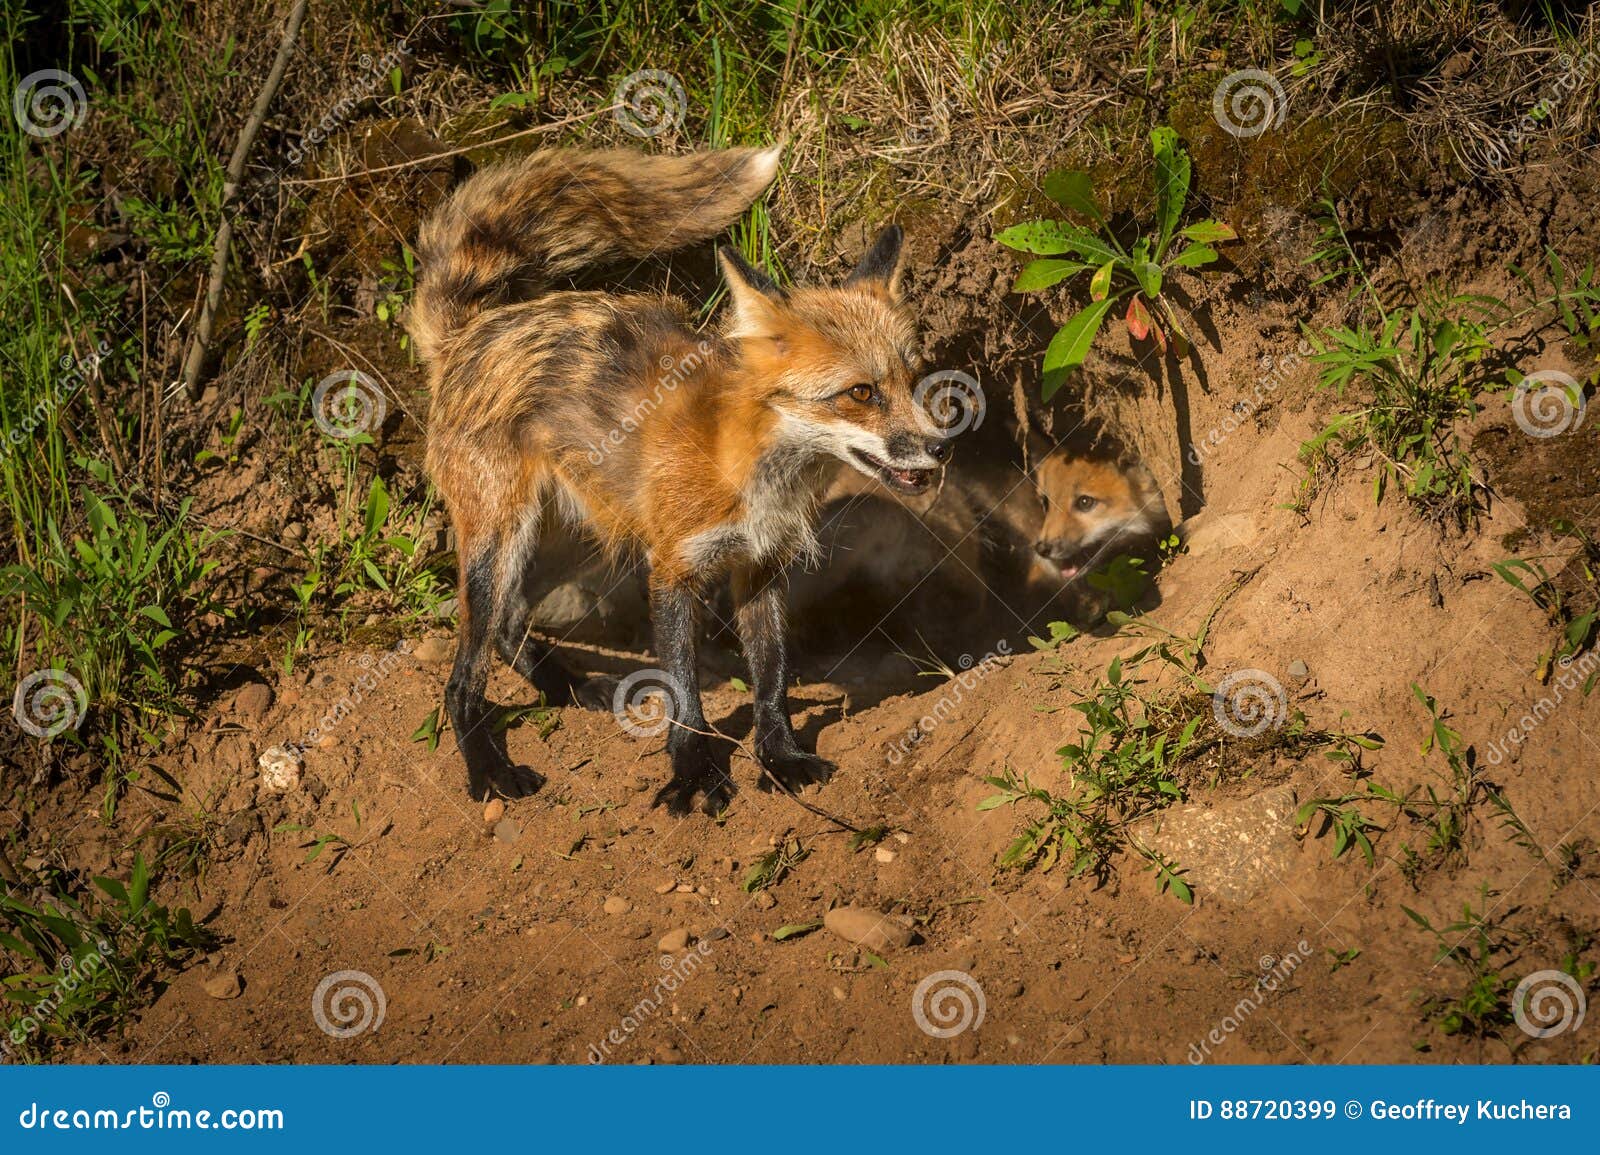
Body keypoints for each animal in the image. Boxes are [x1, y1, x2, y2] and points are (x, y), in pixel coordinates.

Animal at [410, 145, 949, 814]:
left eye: (913, 380)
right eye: (861, 393)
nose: (940, 447)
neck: (748, 470)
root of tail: (474, 332)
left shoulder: (763, 565)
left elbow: (772, 677)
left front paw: (781, 757)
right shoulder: (671, 566)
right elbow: (684, 687)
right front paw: (693, 771)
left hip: (572, 537)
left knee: (510, 624)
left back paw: (570, 687)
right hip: (502, 538)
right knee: (462, 679)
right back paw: (488, 766)